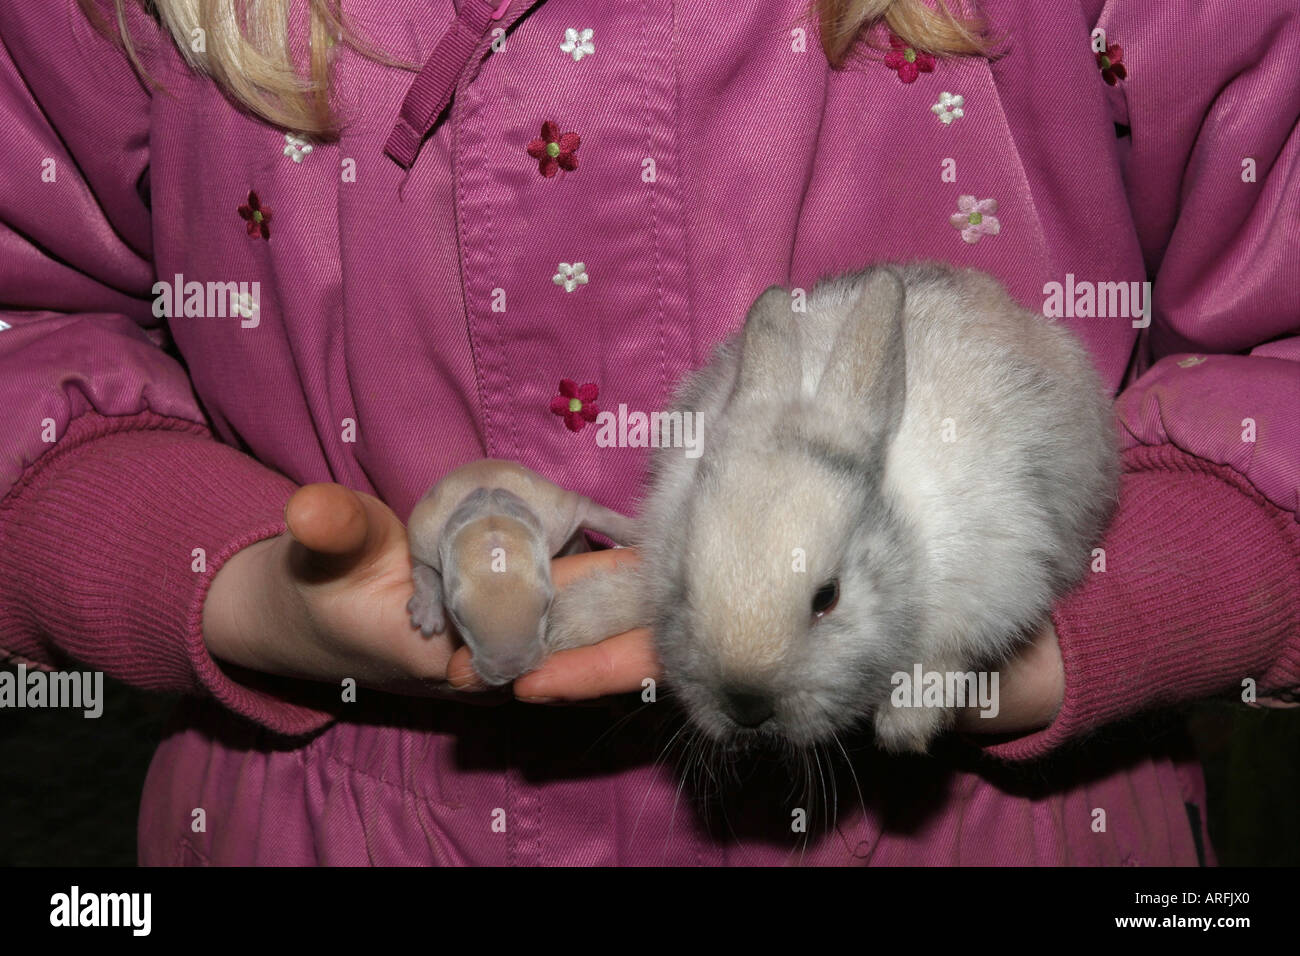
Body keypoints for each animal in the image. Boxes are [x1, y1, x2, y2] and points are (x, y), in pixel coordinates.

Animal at [544, 262, 1119, 753]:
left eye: (828, 597)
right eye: (684, 586)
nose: (747, 708)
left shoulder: (995, 578)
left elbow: (948, 652)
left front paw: (906, 724)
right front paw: (568, 622)